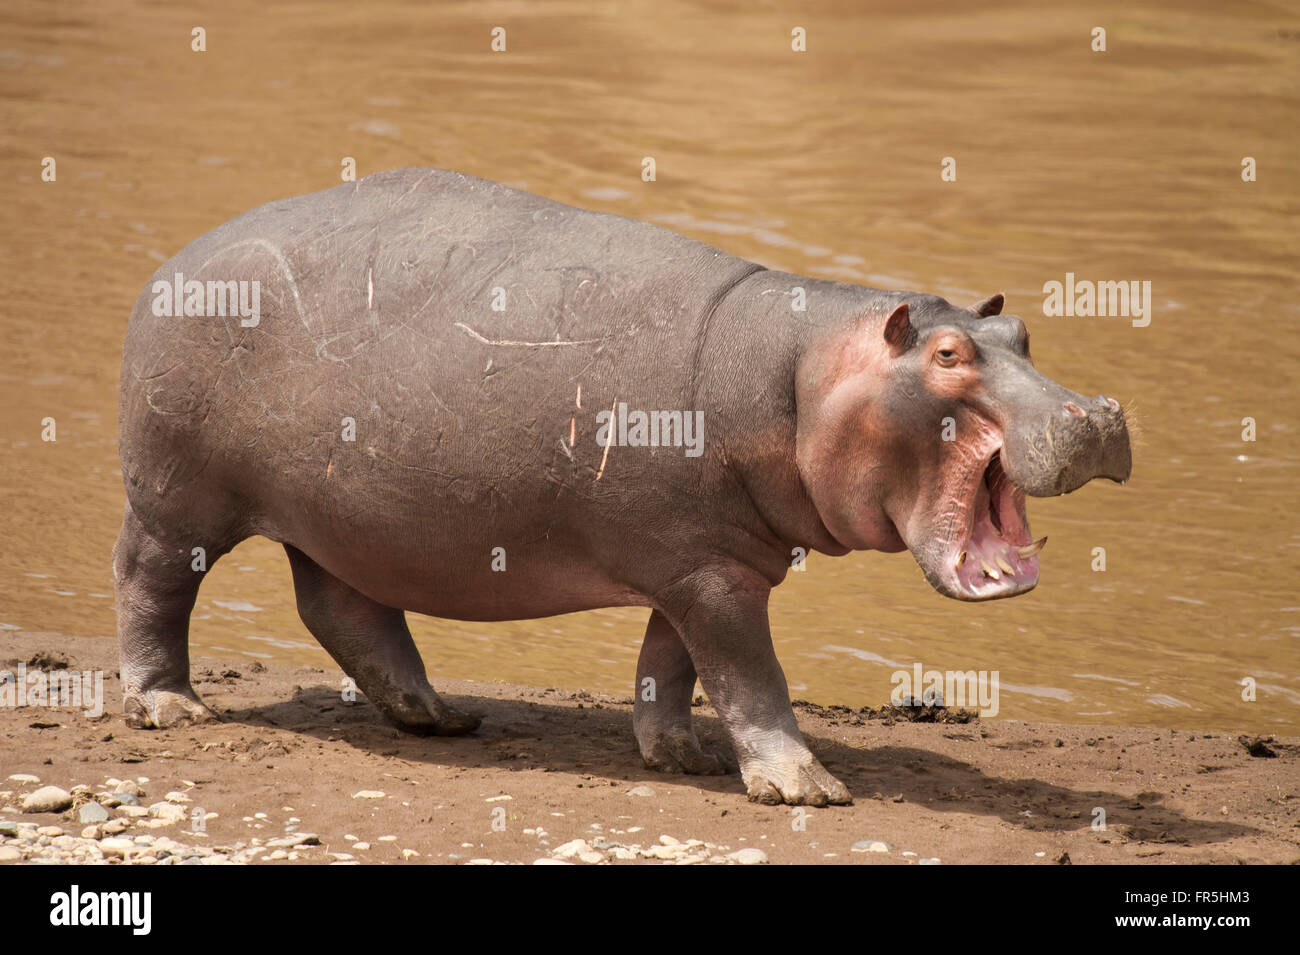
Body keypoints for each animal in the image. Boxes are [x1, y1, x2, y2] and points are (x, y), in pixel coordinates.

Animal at [114, 168, 1131, 806]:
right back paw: (167, 706)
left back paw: (441, 718)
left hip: (343, 515)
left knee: (345, 607)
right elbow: (752, 675)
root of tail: (176, 259)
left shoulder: (711, 562)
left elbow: (673, 663)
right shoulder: (712, 575)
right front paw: (805, 787)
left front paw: (681, 755)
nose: (1098, 412)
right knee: (149, 582)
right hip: (179, 499)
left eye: (1025, 335)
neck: (804, 372)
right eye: (950, 355)